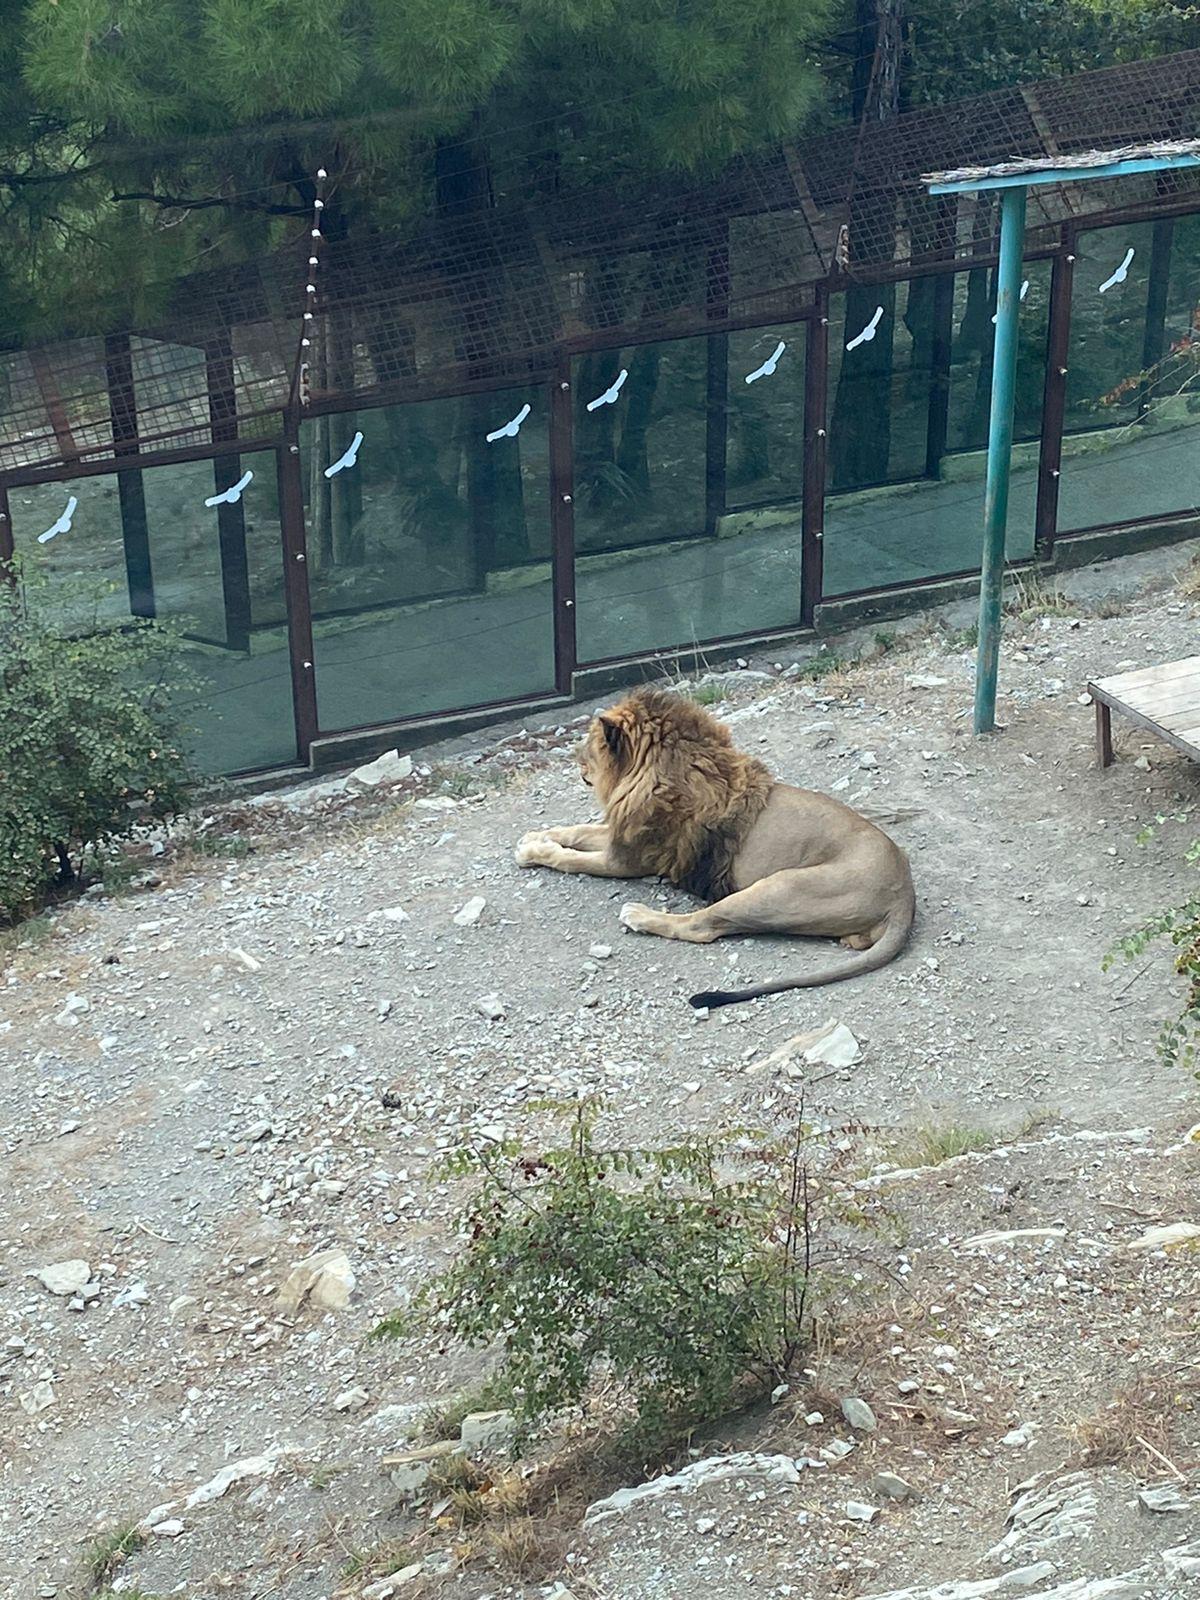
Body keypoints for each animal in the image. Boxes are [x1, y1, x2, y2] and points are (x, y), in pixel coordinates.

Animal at [512, 681, 915, 1004]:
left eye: (587, 749)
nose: (574, 762)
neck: (659, 772)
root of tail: (904, 898)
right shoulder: (621, 832)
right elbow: (579, 830)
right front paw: (537, 835)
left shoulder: (627, 859)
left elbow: (571, 858)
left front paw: (533, 851)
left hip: (778, 889)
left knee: (699, 927)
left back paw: (638, 915)